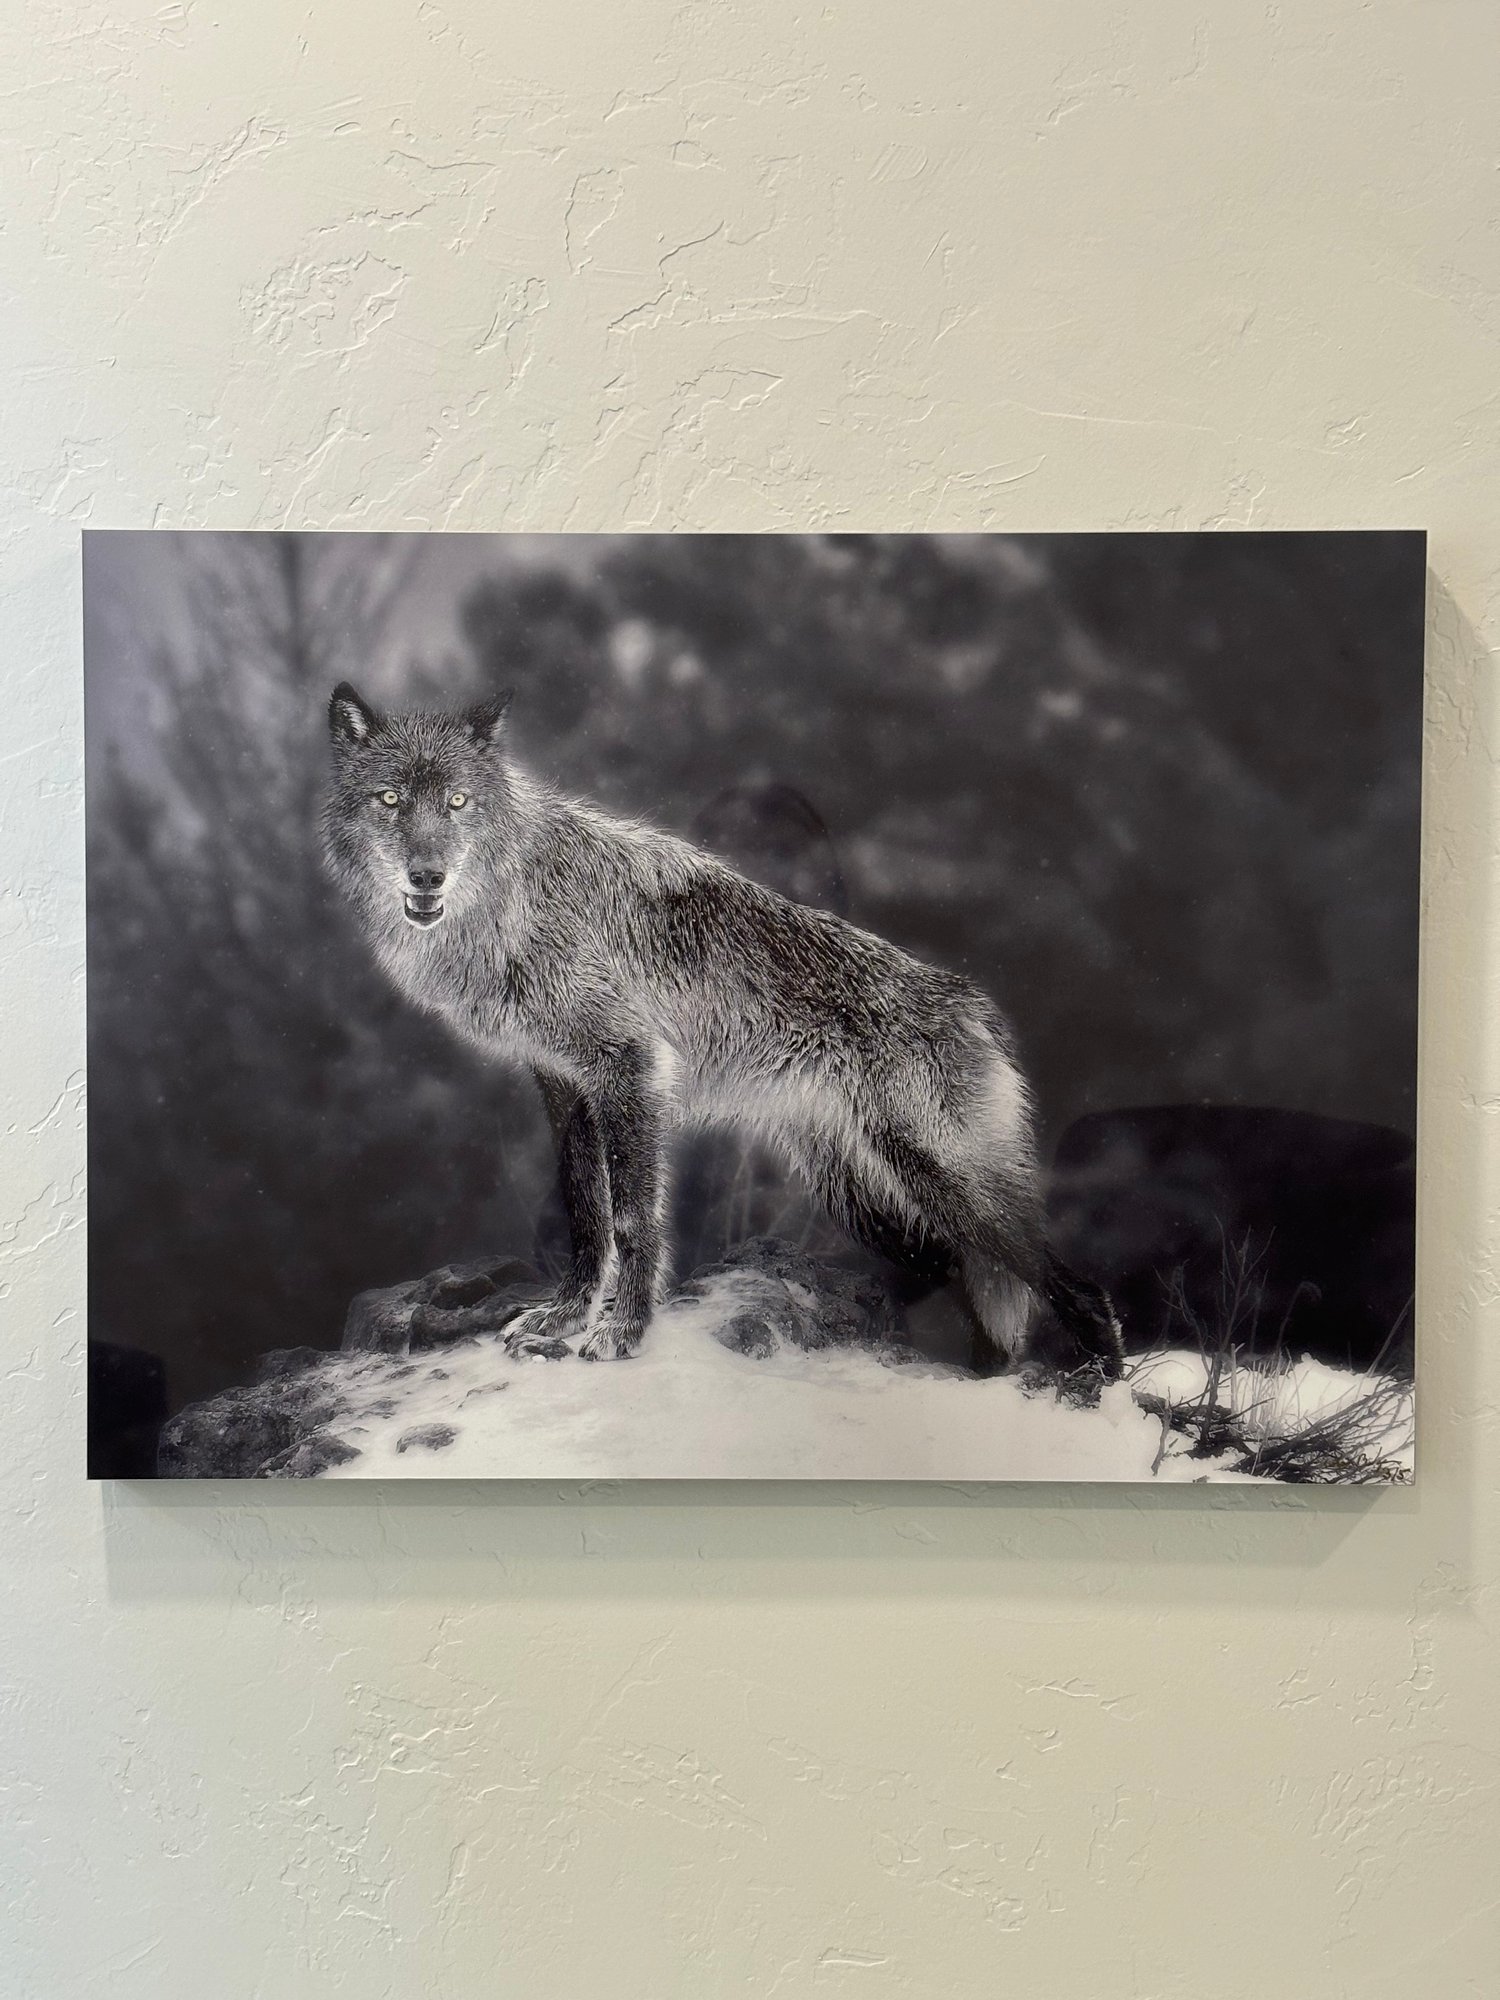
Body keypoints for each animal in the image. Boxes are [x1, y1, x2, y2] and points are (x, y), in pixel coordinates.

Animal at [322, 683, 1123, 1376]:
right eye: (391, 800)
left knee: (1082, 1291)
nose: (427, 877)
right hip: (878, 1212)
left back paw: (1094, 1389)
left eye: (456, 802)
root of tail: (975, 1006)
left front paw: (622, 1334)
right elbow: (586, 1214)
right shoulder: (564, 1083)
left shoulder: (630, 1069)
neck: (512, 900)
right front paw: (565, 1317)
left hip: (943, 1186)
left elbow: (633, 1221)